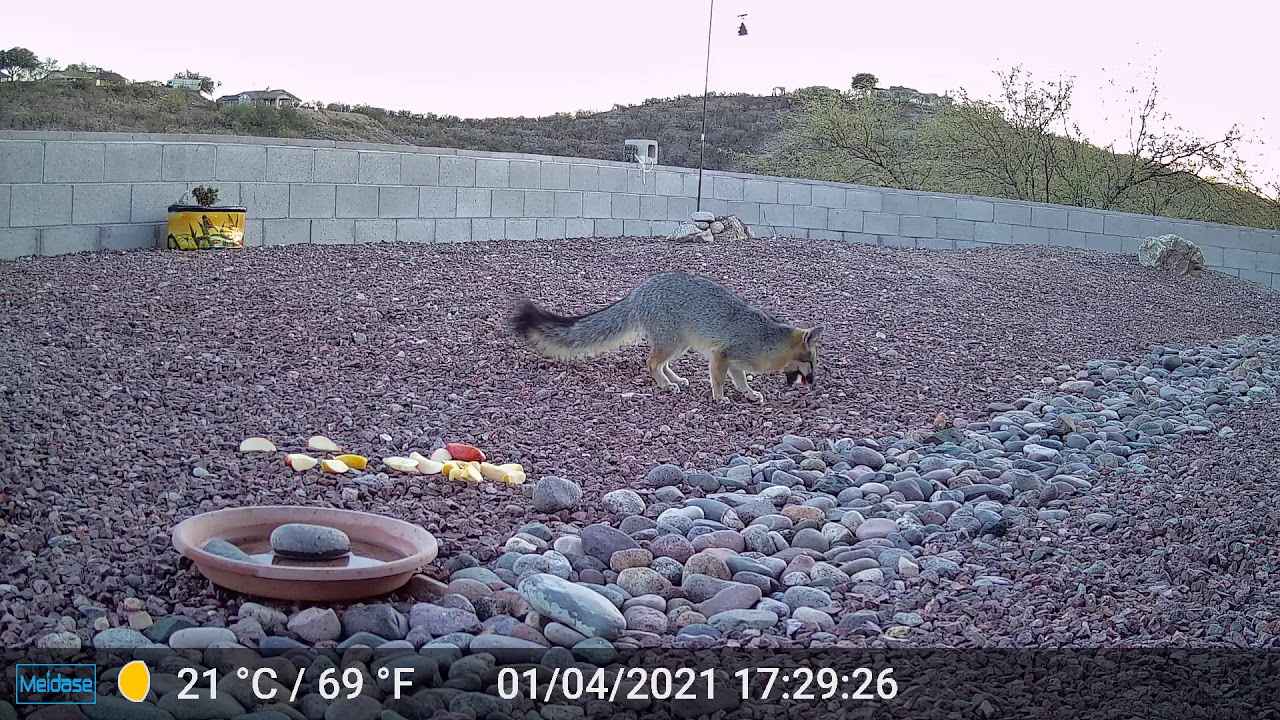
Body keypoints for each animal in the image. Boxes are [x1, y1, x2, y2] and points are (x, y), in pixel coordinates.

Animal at [510, 271, 823, 404]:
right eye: (810, 363)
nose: (813, 382)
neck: (765, 339)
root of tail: (639, 291)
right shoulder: (721, 355)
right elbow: (720, 381)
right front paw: (720, 398)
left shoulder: (735, 361)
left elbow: (742, 381)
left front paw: (748, 393)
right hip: (673, 342)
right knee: (651, 362)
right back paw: (663, 384)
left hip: (679, 344)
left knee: (661, 363)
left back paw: (673, 380)